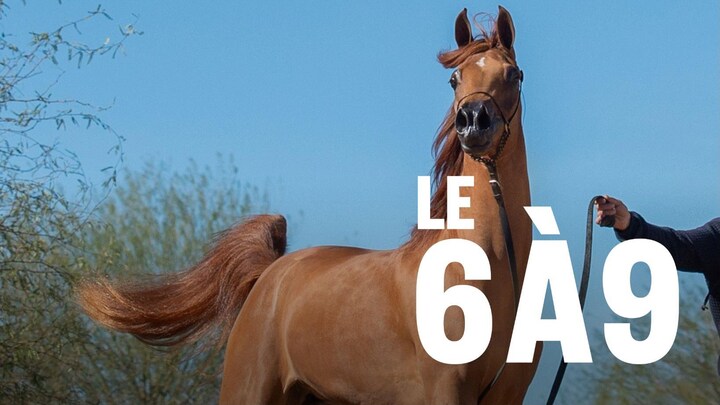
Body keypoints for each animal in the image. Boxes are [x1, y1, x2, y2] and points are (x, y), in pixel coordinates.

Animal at [77, 6, 540, 404]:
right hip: (250, 390)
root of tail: (269, 275)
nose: (473, 121)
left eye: (513, 74)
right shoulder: (446, 390)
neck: (485, 267)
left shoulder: (508, 394)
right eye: (454, 79)